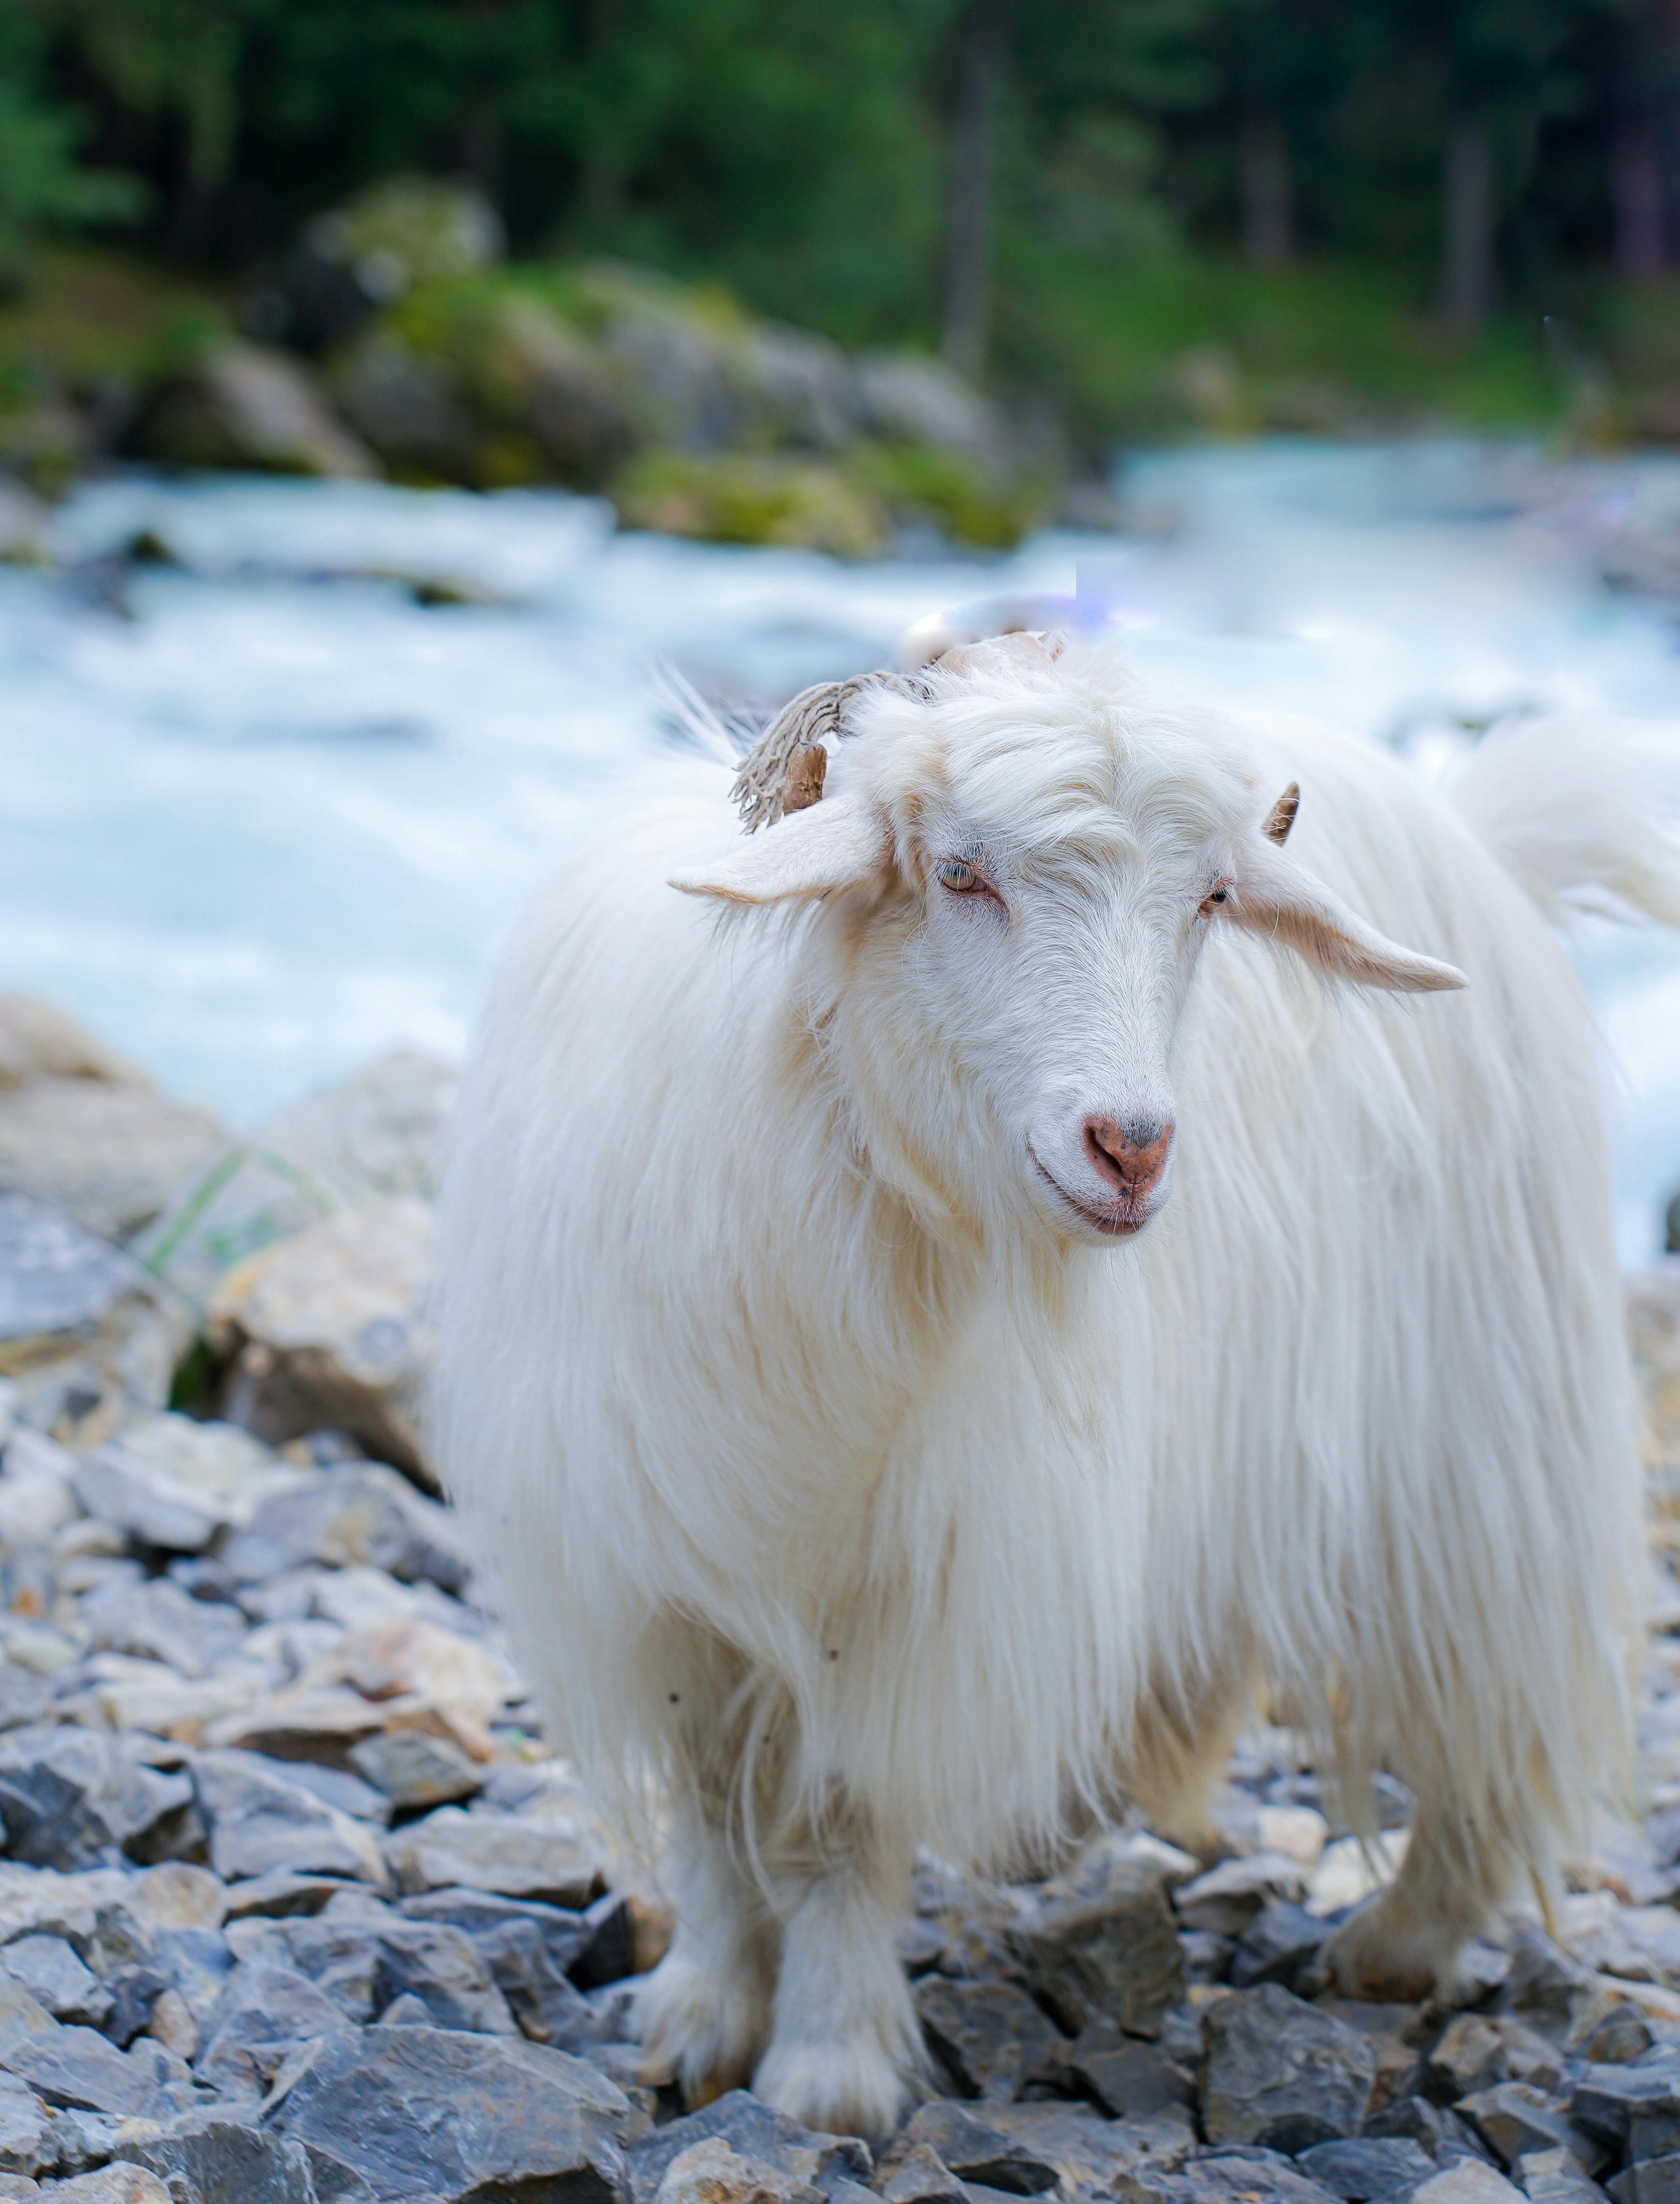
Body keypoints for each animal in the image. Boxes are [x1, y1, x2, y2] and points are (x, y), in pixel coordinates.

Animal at [434, 633, 1675, 2140]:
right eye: (957, 873)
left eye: (1208, 900)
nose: (1129, 1146)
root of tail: (1485, 835)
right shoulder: (656, 1583)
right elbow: (718, 1810)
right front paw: (697, 2017)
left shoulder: (915, 1588)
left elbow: (838, 1821)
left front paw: (826, 2071)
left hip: (1477, 1456)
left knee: (1484, 1711)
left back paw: (1402, 1939)